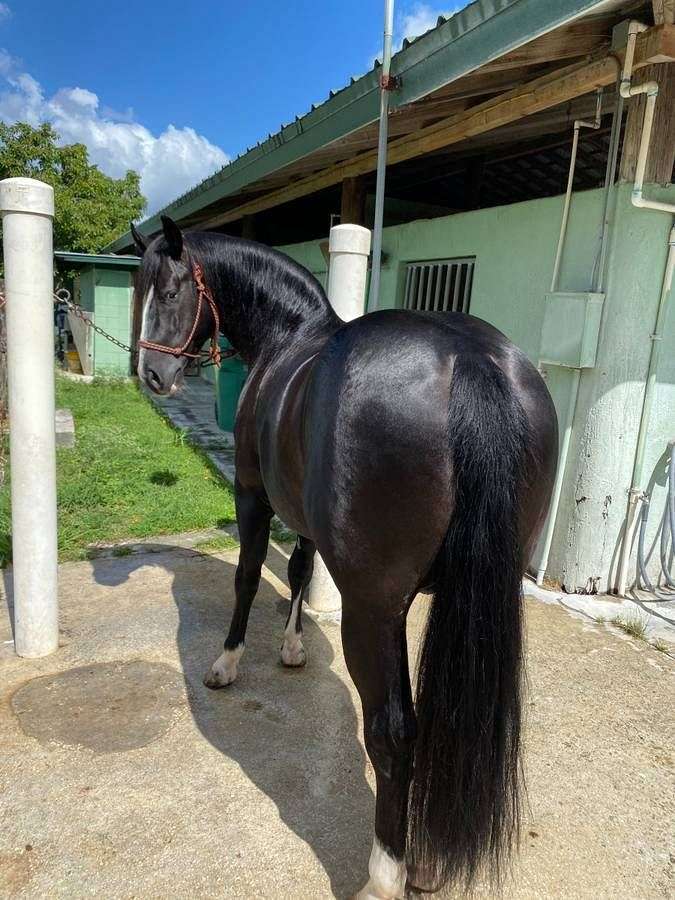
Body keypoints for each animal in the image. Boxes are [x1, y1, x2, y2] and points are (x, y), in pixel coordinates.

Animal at [131, 215, 558, 899]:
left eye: (169, 291)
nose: (151, 376)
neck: (288, 336)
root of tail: (469, 360)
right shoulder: (304, 519)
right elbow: (300, 569)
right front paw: (293, 647)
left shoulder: (252, 496)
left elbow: (248, 578)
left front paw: (228, 661)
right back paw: (425, 859)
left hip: (373, 611)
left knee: (393, 732)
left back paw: (384, 874)